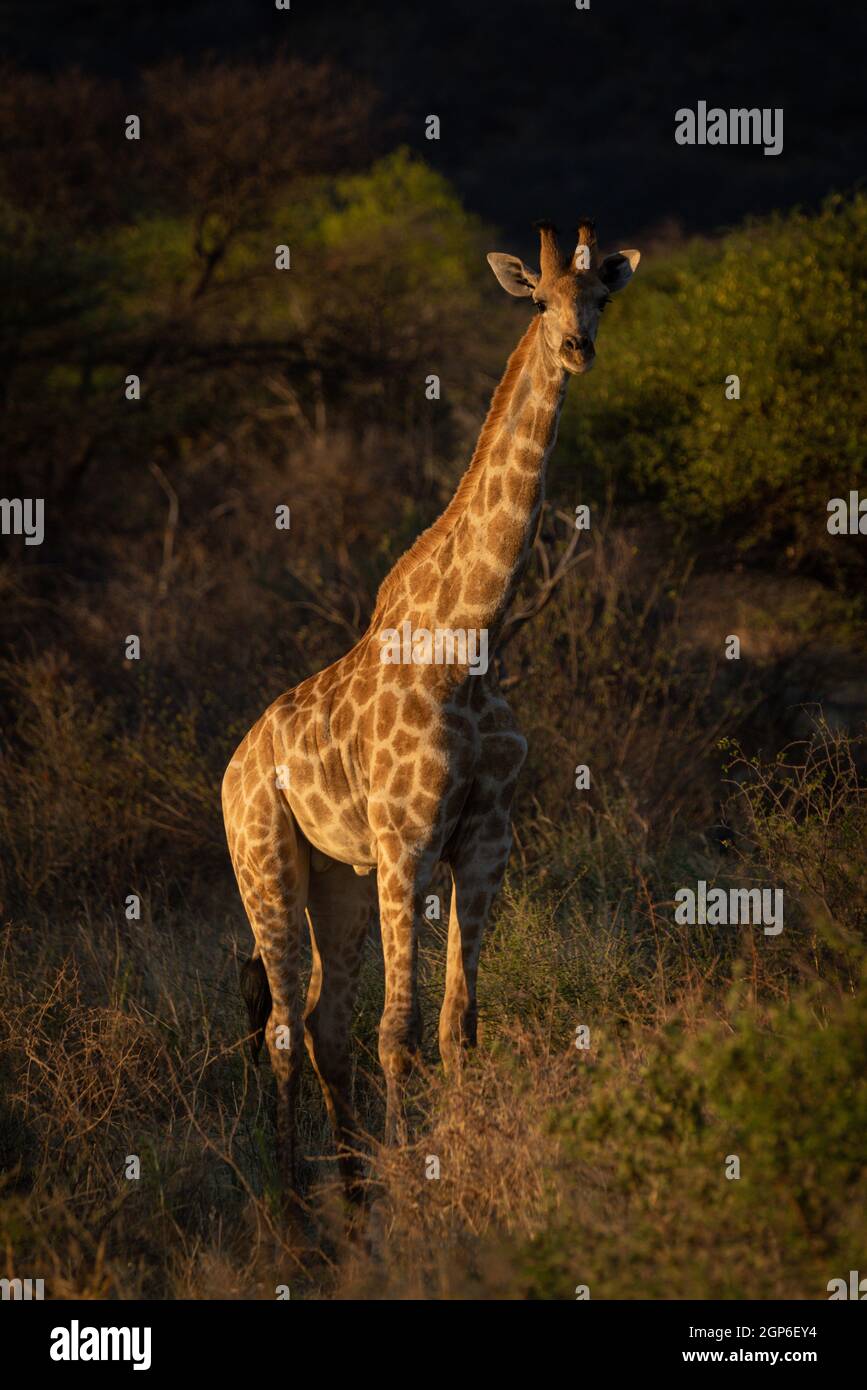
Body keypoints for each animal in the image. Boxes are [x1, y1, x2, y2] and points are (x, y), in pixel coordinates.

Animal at [221, 219, 640, 1196]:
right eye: (538, 299)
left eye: (600, 297)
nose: (576, 347)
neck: (472, 636)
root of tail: (230, 766)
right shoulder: (407, 839)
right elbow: (400, 1033)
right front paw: (424, 1183)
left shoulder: (484, 839)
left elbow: (456, 1027)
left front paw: (444, 1160)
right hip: (263, 860)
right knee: (285, 1025)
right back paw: (295, 1203)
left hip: (335, 875)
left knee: (322, 1022)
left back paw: (351, 1191)